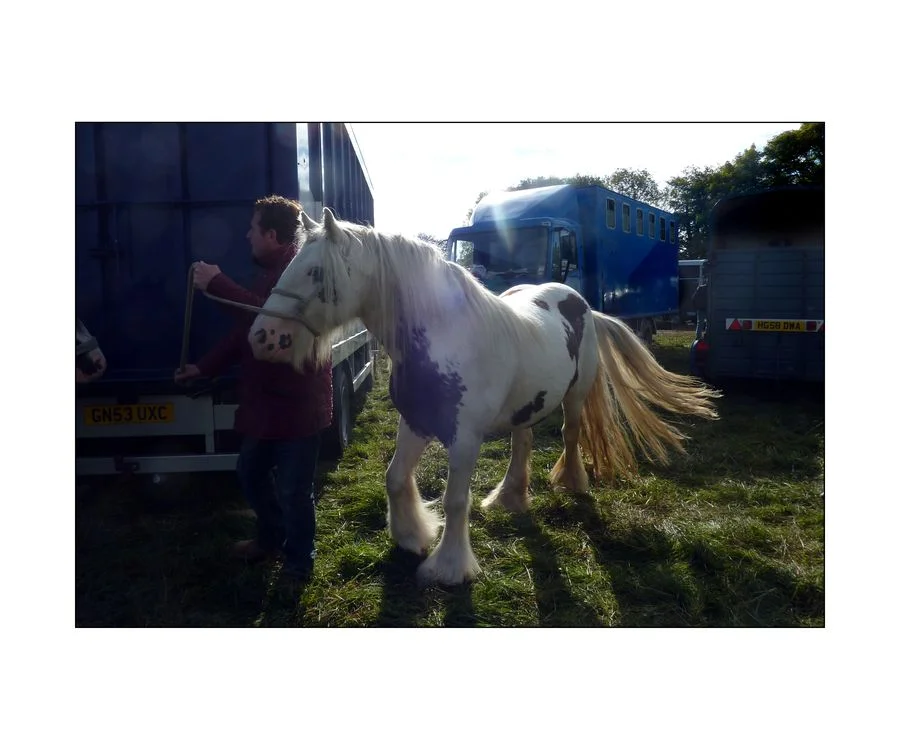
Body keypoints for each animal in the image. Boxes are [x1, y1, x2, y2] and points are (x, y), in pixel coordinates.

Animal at [248, 208, 720, 586]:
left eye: (315, 272)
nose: (263, 337)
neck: (443, 337)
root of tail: (581, 302)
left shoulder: (465, 438)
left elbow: (456, 500)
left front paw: (448, 568)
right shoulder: (414, 423)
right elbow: (396, 479)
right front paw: (412, 537)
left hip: (575, 396)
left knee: (569, 435)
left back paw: (573, 483)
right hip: (527, 406)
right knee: (522, 443)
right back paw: (510, 497)